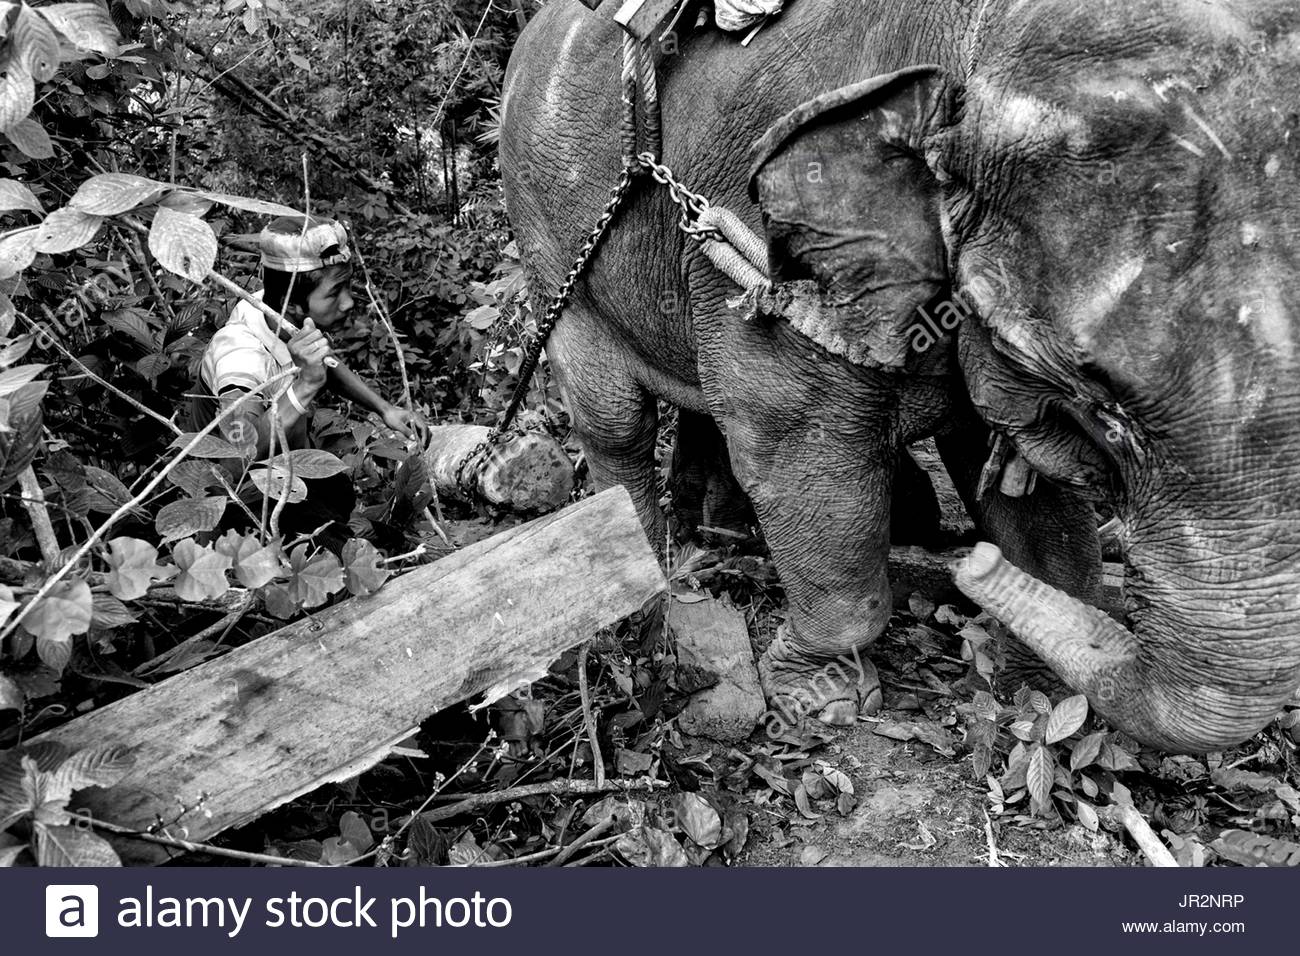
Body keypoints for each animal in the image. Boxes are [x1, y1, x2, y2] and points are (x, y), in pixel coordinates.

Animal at [500, 0, 1300, 753]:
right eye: (1099, 394)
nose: (974, 564)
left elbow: (1020, 489)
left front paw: (1035, 690)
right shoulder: (775, 261)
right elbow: (798, 456)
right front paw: (822, 702)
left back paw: (720, 531)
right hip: (551, 236)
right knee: (614, 421)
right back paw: (650, 576)